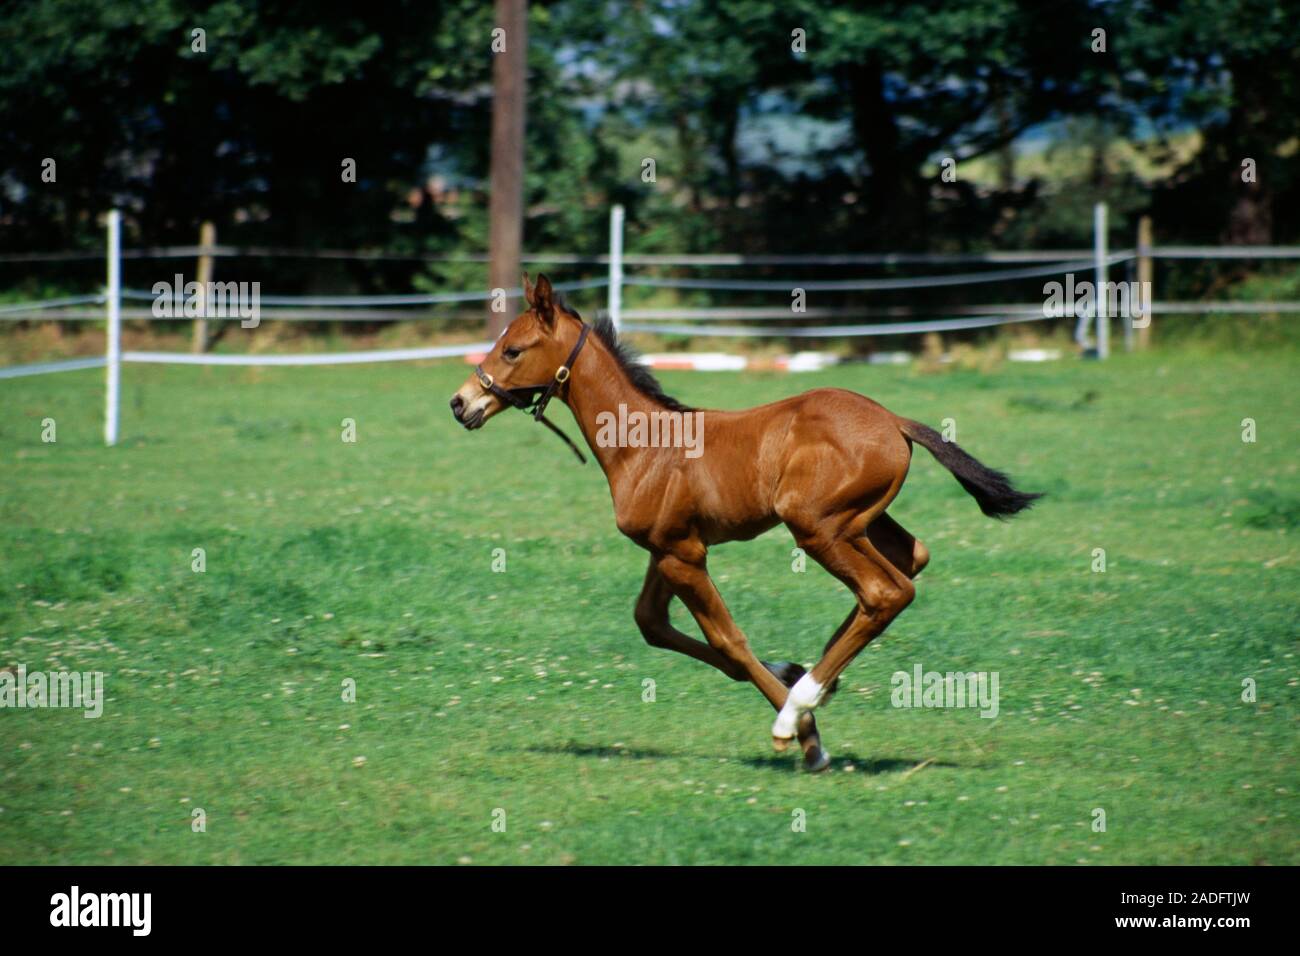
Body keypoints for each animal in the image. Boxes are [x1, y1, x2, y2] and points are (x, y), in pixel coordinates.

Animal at [450, 273, 1040, 771]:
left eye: (512, 350)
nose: (461, 403)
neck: (642, 446)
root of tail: (895, 421)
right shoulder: (667, 549)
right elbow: (654, 624)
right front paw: (789, 678)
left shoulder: (683, 553)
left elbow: (728, 639)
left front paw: (807, 738)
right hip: (860, 522)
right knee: (910, 562)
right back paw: (814, 680)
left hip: (816, 526)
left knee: (885, 591)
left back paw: (800, 703)